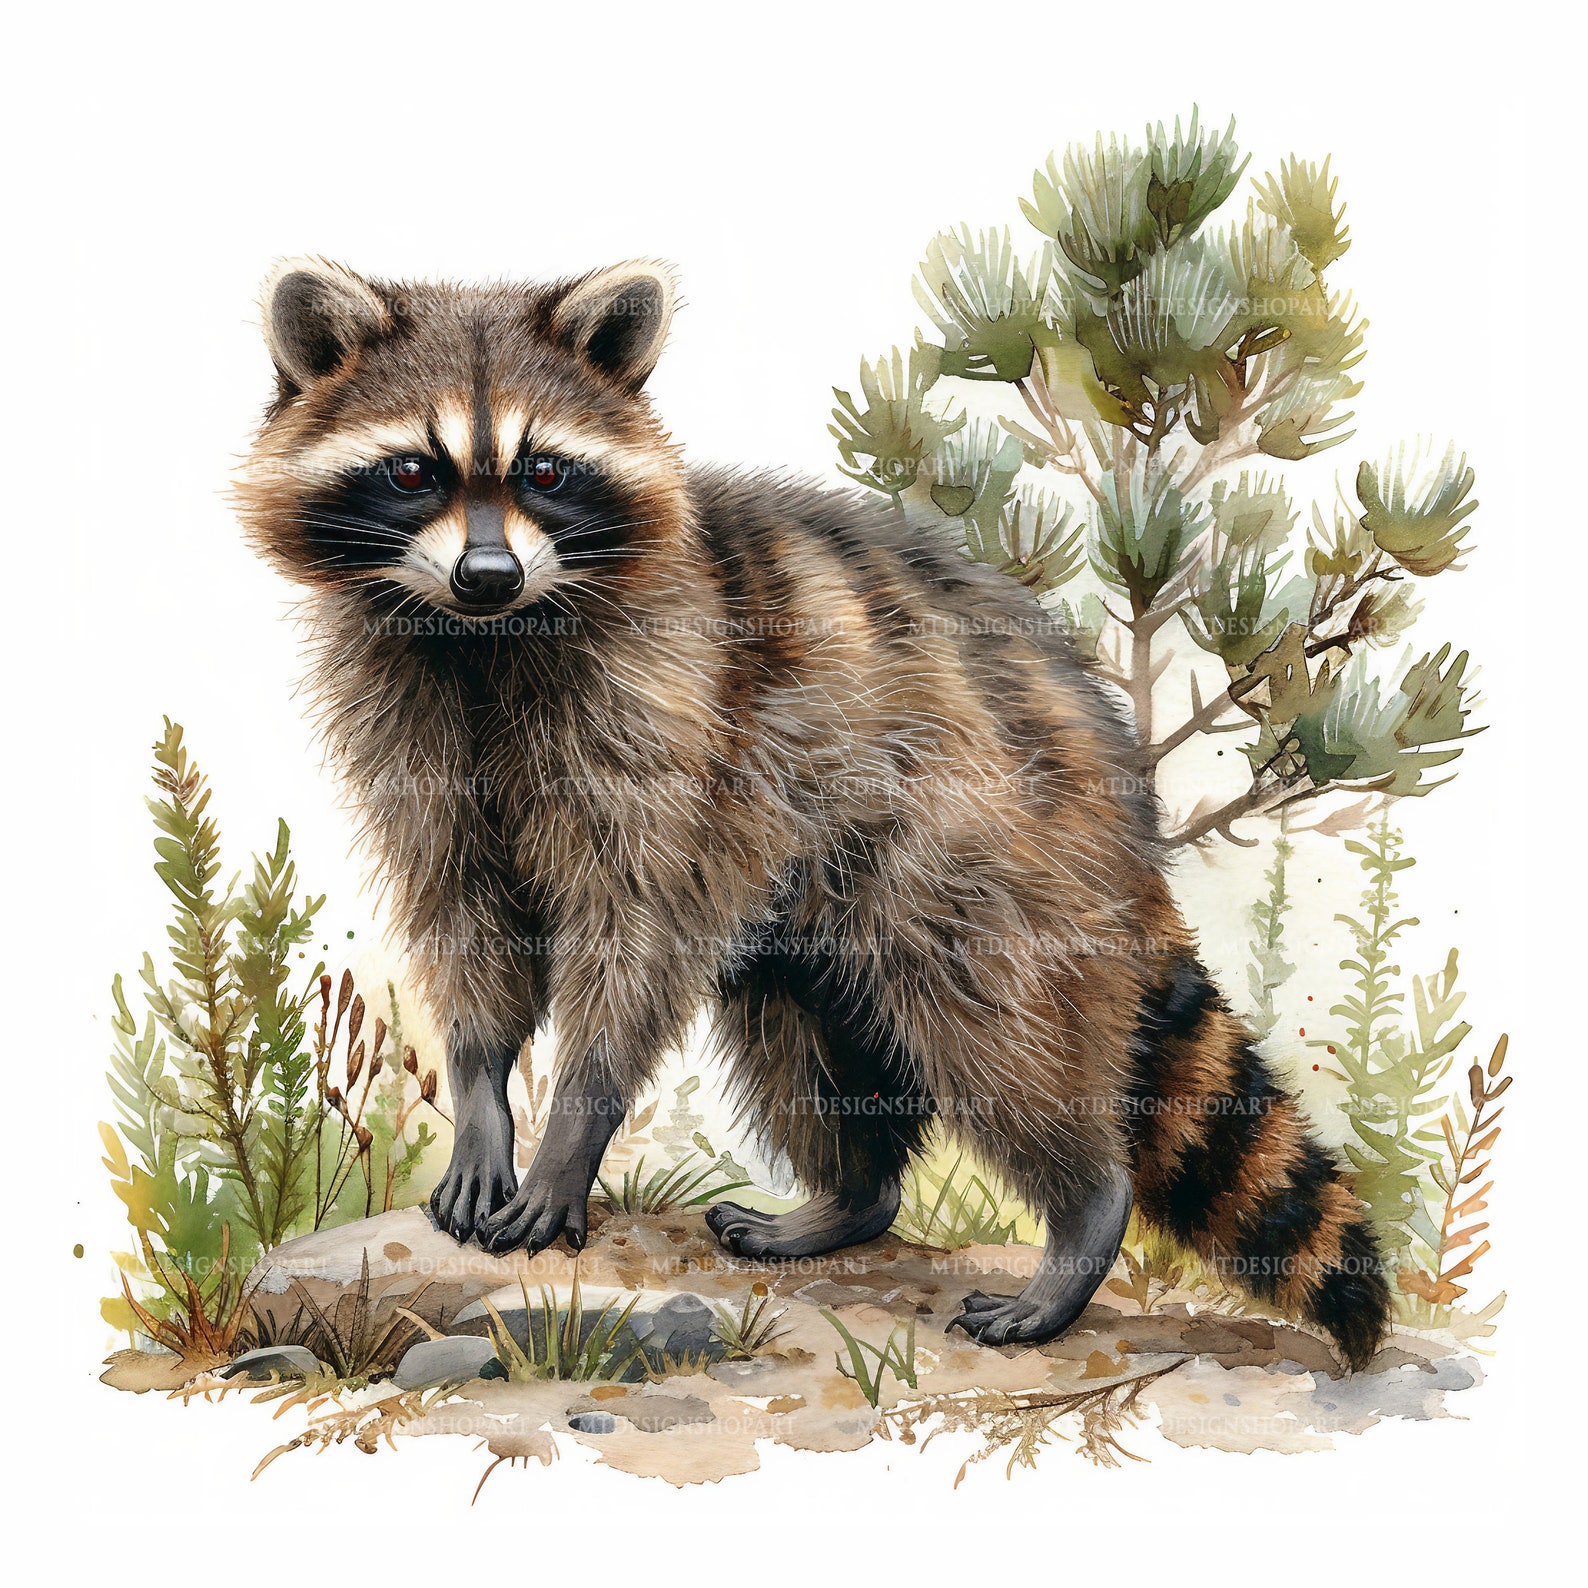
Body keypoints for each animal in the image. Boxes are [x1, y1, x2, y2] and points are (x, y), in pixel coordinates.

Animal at [236, 257, 1392, 1368]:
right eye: (412, 470)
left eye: (545, 471)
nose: (487, 571)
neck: (483, 638)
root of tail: (1121, 799)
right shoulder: (415, 730)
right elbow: (465, 915)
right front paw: (483, 1105)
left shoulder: (673, 725)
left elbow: (634, 936)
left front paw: (571, 1130)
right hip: (823, 909)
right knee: (809, 1048)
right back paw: (848, 1199)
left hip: (978, 850)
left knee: (1002, 1034)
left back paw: (1078, 1217)